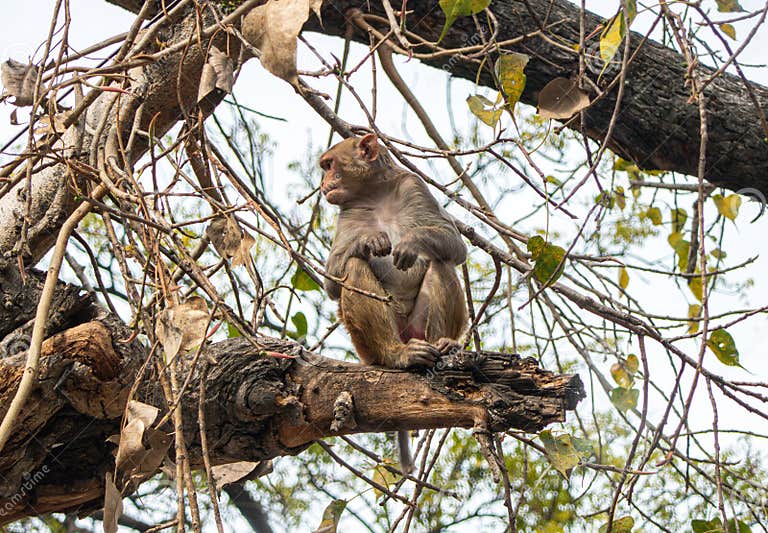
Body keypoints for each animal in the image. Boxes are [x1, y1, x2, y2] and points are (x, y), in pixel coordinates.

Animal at [319, 133, 468, 472]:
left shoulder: (413, 185)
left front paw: (412, 243)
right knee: (354, 267)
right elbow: (332, 279)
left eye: (329, 164)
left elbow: (454, 244)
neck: (377, 195)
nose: (323, 183)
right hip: (366, 347)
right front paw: (368, 242)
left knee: (441, 261)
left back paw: (443, 345)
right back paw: (397, 355)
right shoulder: (348, 214)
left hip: (417, 326)